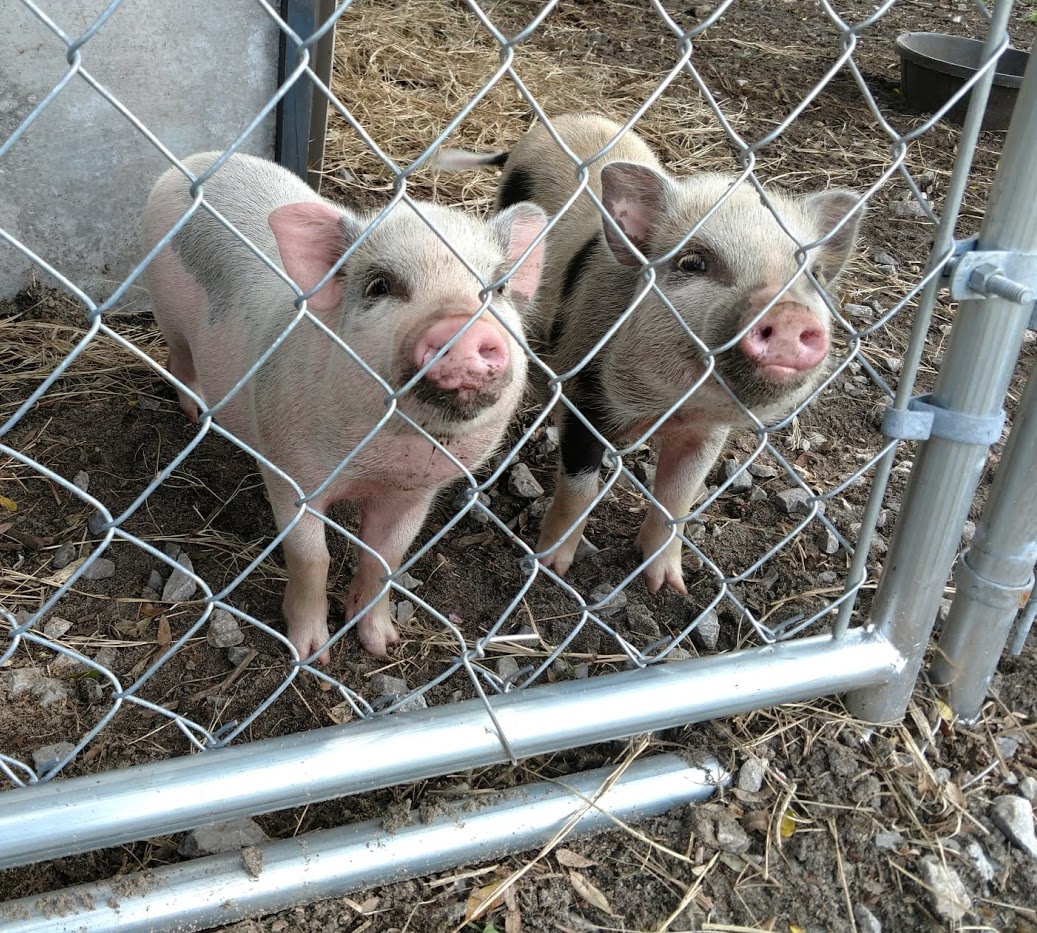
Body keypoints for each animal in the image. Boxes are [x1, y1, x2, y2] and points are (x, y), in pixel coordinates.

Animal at [141, 151, 546, 662]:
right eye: (380, 286)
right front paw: (312, 654)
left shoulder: (417, 490)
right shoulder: (290, 470)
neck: (378, 462)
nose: (464, 327)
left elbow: (387, 558)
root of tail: (192, 163)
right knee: (178, 358)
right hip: (166, 310)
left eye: (498, 287)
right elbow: (312, 556)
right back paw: (195, 413)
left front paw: (382, 645)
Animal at [438, 114, 862, 594]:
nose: (788, 311)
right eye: (693, 263)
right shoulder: (588, 394)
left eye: (815, 274)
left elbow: (678, 498)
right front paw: (552, 568)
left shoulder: (705, 431)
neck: (669, 404)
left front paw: (667, 585)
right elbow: (580, 488)